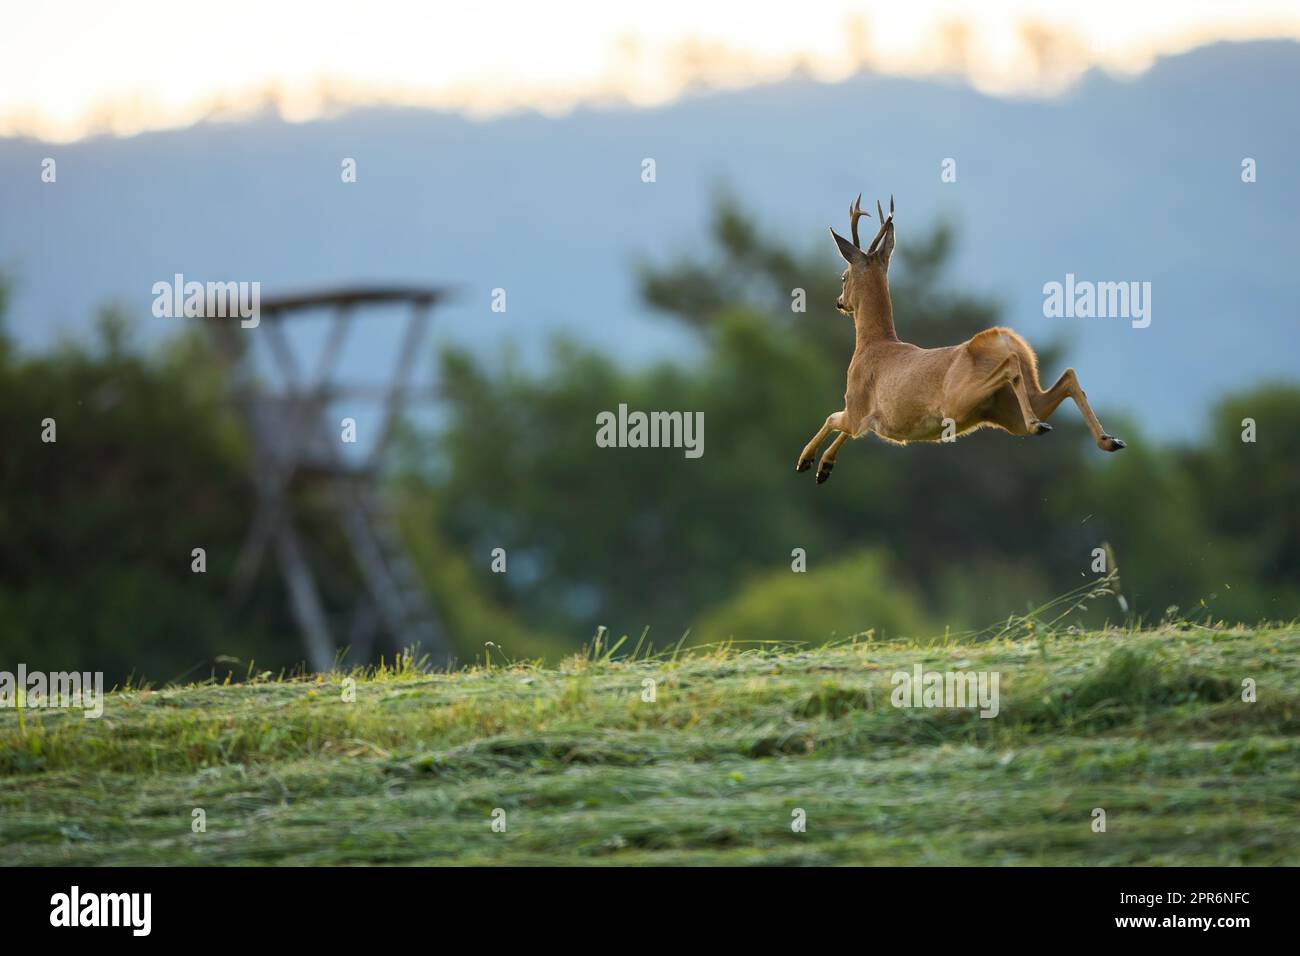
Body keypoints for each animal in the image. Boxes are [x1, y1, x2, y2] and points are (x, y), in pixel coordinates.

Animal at [797, 194, 1125, 484]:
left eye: (843, 277)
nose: (839, 302)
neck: (872, 344)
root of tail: (1006, 340)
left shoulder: (856, 404)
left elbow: (832, 418)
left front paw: (807, 461)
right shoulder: (866, 418)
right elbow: (842, 428)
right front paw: (824, 467)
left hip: (958, 400)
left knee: (1011, 369)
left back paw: (1041, 424)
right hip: (1007, 410)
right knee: (1067, 377)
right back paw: (1107, 439)